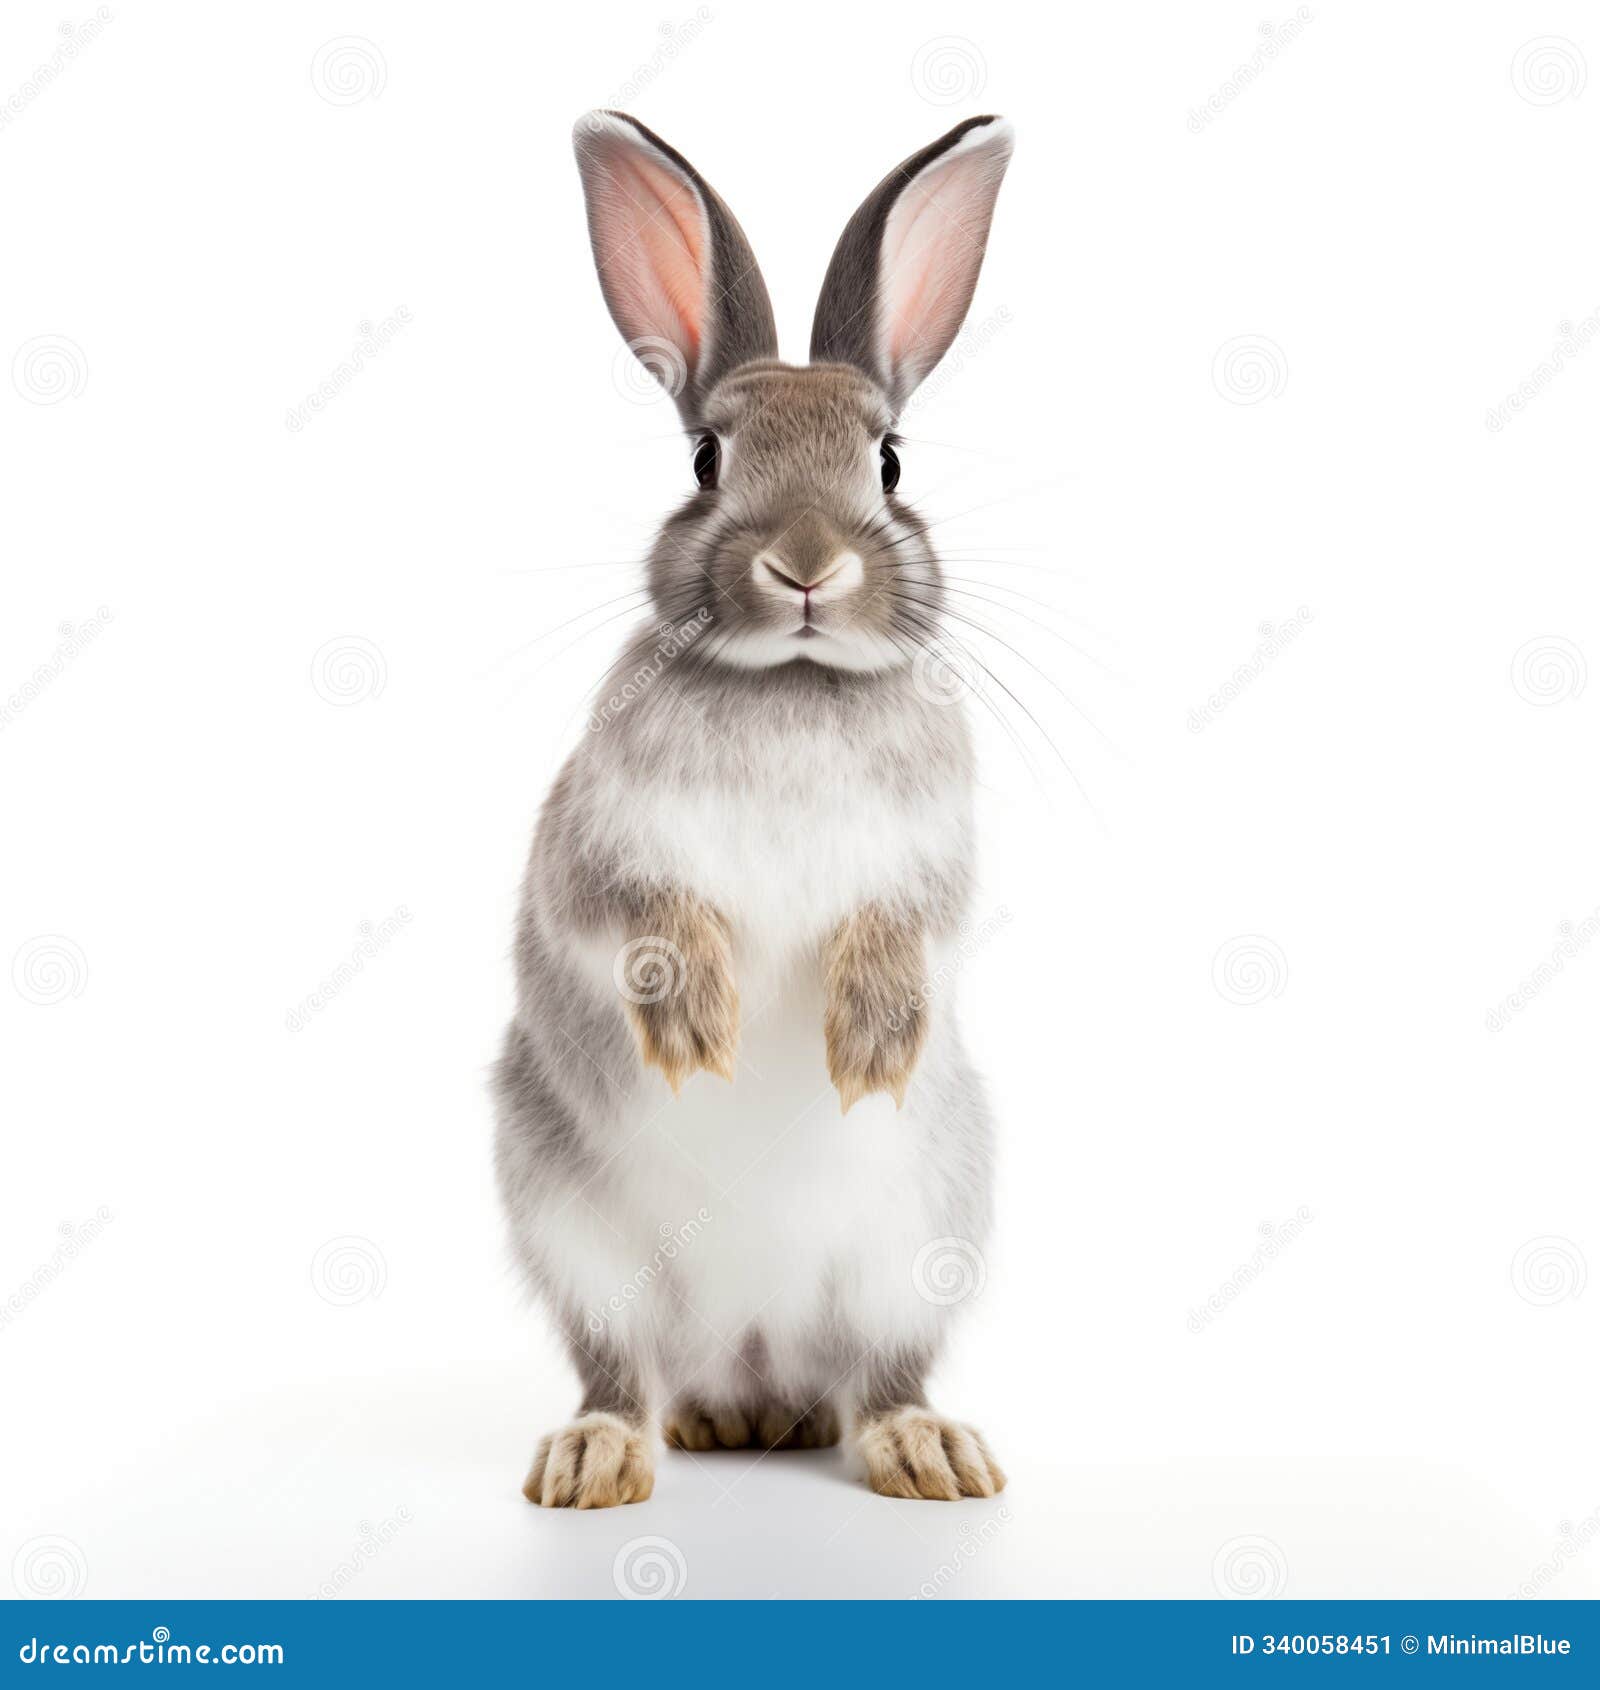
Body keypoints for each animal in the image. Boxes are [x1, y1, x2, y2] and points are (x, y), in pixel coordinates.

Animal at [495, 109, 1015, 1508]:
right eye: (705, 459)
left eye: (887, 460)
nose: (805, 565)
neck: (790, 683)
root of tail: (753, 1349)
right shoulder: (595, 854)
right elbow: (636, 916)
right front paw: (699, 1022)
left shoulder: (933, 868)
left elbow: (909, 929)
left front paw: (869, 1038)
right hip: (579, 1241)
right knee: (621, 1372)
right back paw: (605, 1454)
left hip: (914, 1249)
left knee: (880, 1375)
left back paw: (923, 1448)